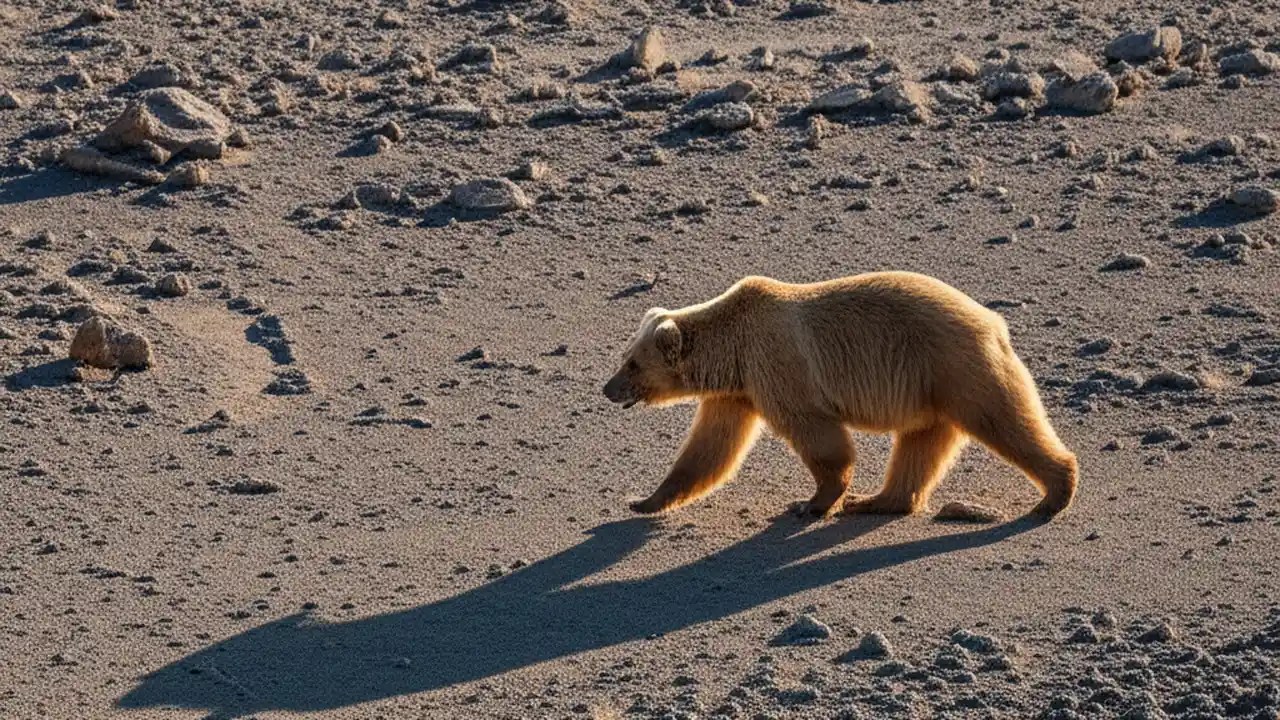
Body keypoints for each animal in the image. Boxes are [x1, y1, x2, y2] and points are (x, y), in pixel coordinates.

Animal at [603, 272, 1078, 519]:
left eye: (633, 364)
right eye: (625, 356)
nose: (607, 389)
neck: (732, 350)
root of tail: (994, 321)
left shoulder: (779, 366)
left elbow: (816, 433)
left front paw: (812, 501)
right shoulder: (738, 391)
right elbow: (709, 449)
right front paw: (644, 499)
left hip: (956, 366)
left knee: (1004, 420)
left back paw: (1055, 492)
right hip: (932, 391)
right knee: (921, 445)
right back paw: (876, 500)